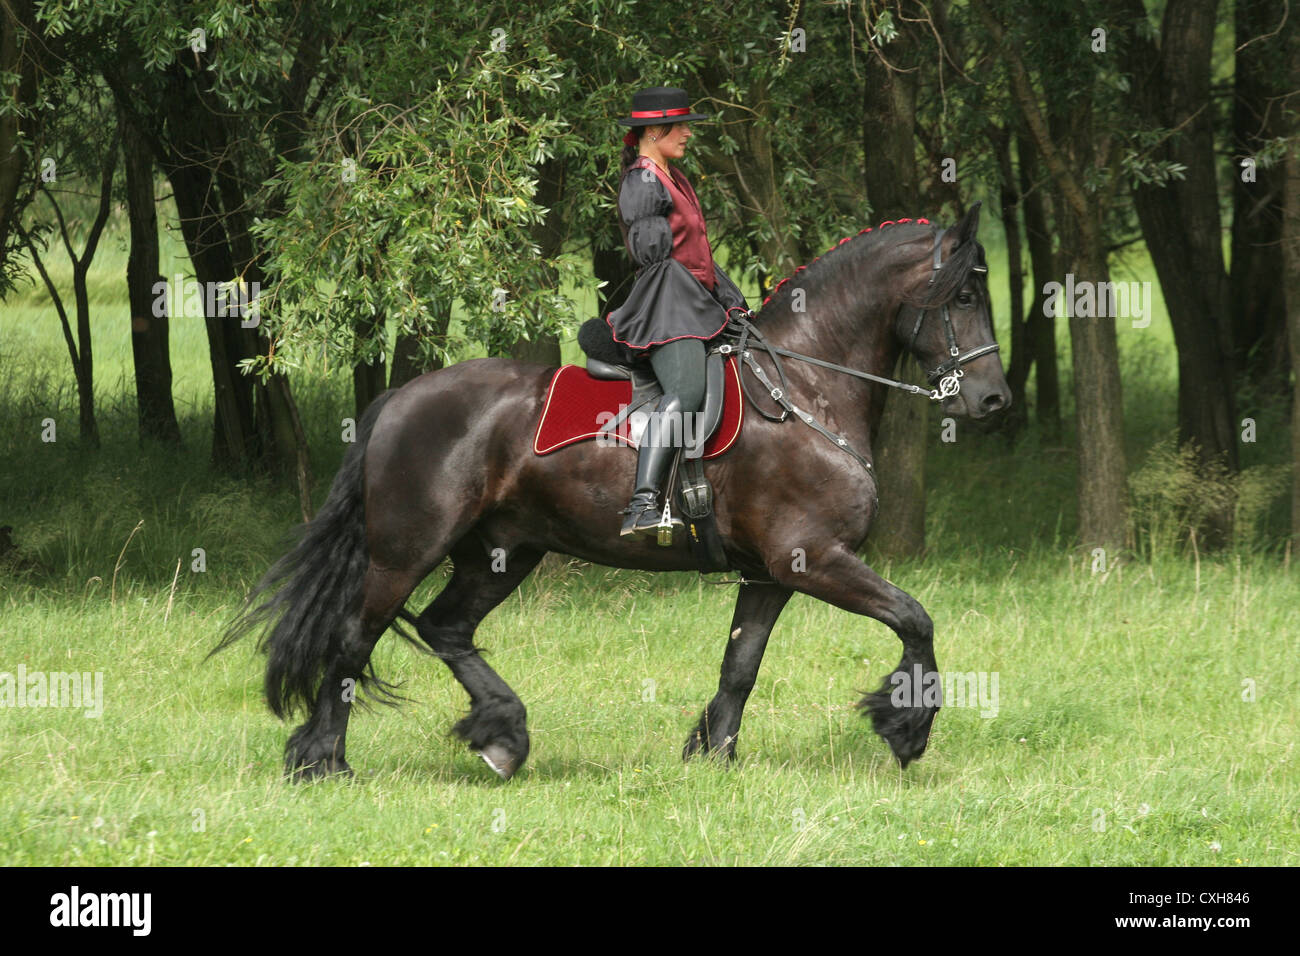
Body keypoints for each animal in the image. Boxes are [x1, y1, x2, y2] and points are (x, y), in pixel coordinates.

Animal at [217, 201, 1011, 781]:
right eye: (967, 293)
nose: (994, 401)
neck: (805, 386)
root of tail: (398, 401)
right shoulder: (813, 558)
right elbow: (915, 620)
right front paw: (906, 729)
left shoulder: (770, 572)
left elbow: (741, 664)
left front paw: (712, 756)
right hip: (406, 551)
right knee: (356, 639)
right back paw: (323, 761)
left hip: (502, 553)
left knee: (445, 628)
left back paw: (501, 734)